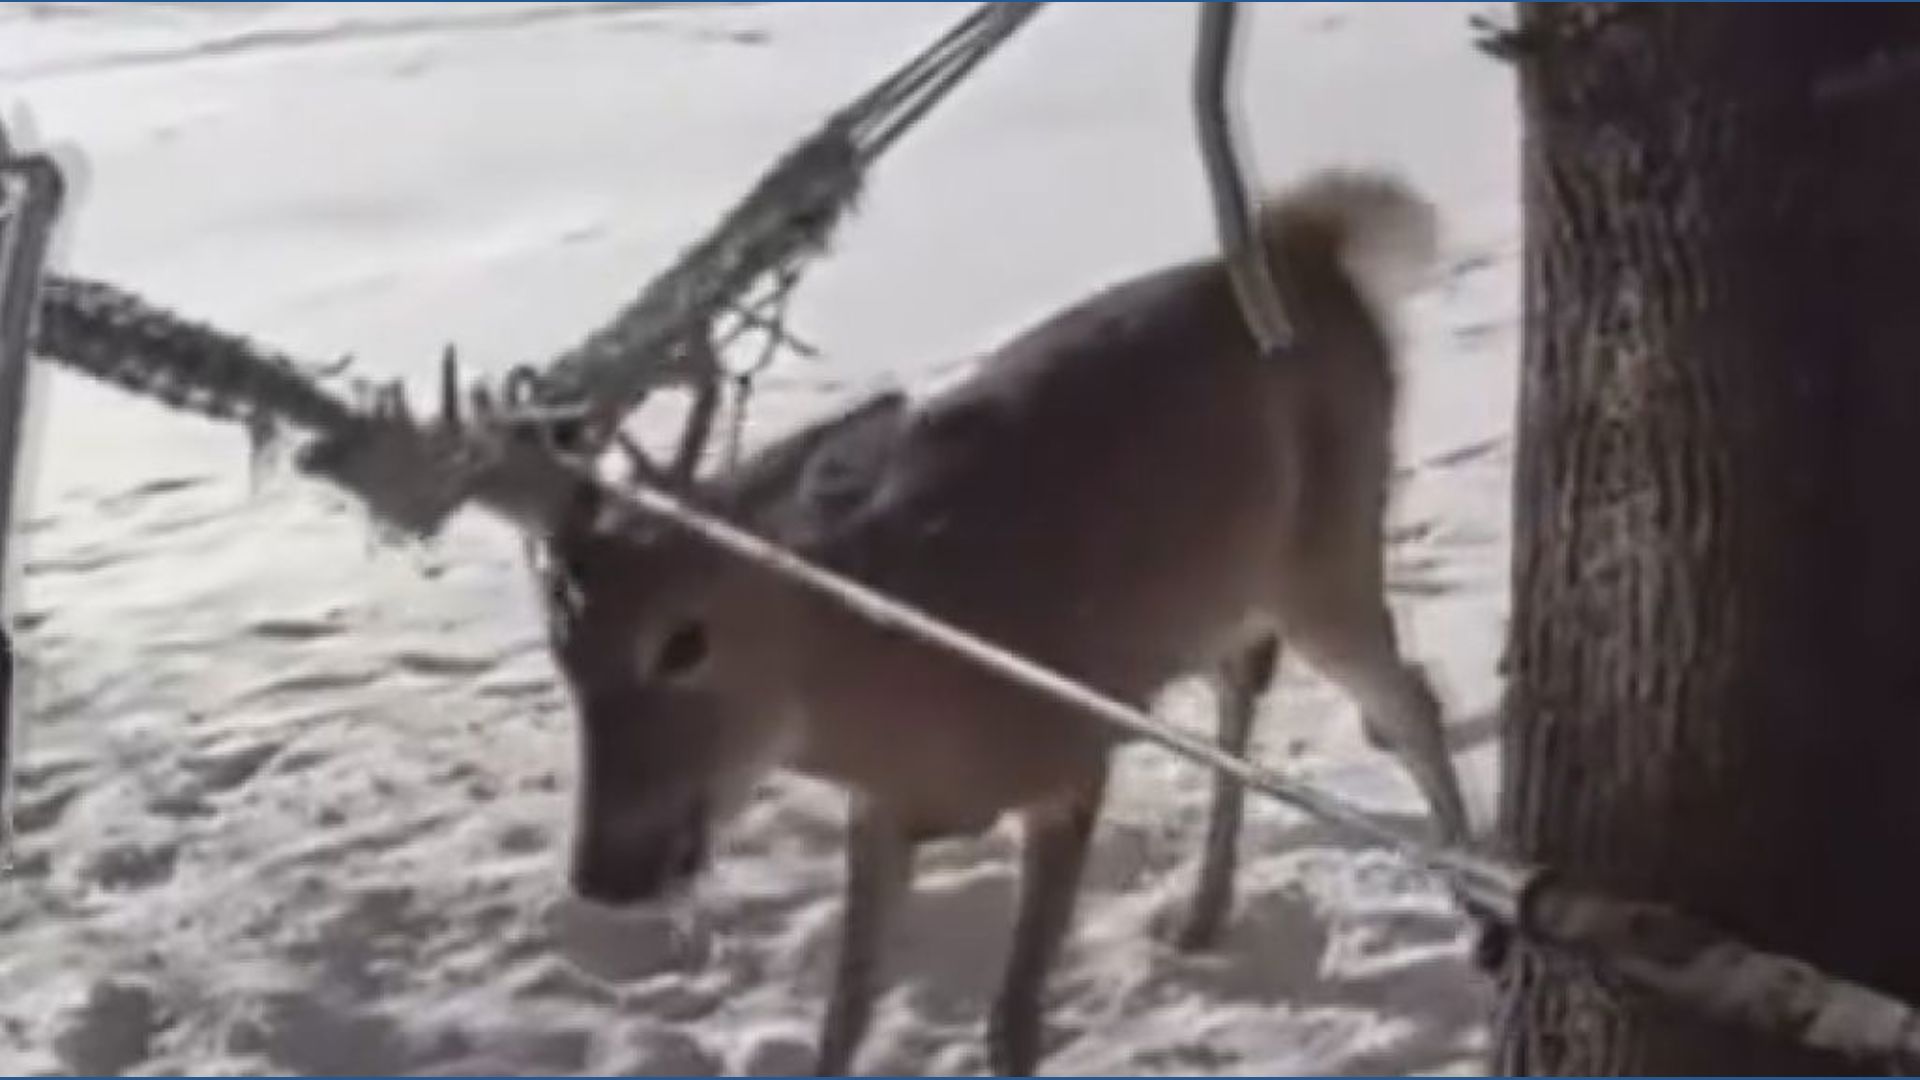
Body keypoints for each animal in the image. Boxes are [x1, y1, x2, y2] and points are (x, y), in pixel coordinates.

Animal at [534, 167, 1471, 1076]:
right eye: (563, 650)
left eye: (683, 641)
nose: (604, 872)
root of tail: (1306, 243)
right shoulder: (879, 813)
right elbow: (844, 1017)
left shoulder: (1072, 757)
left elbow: (1011, 1023)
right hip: (1220, 592)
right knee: (1247, 682)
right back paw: (1203, 913)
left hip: (1328, 549)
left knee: (1408, 701)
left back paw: (1476, 907)